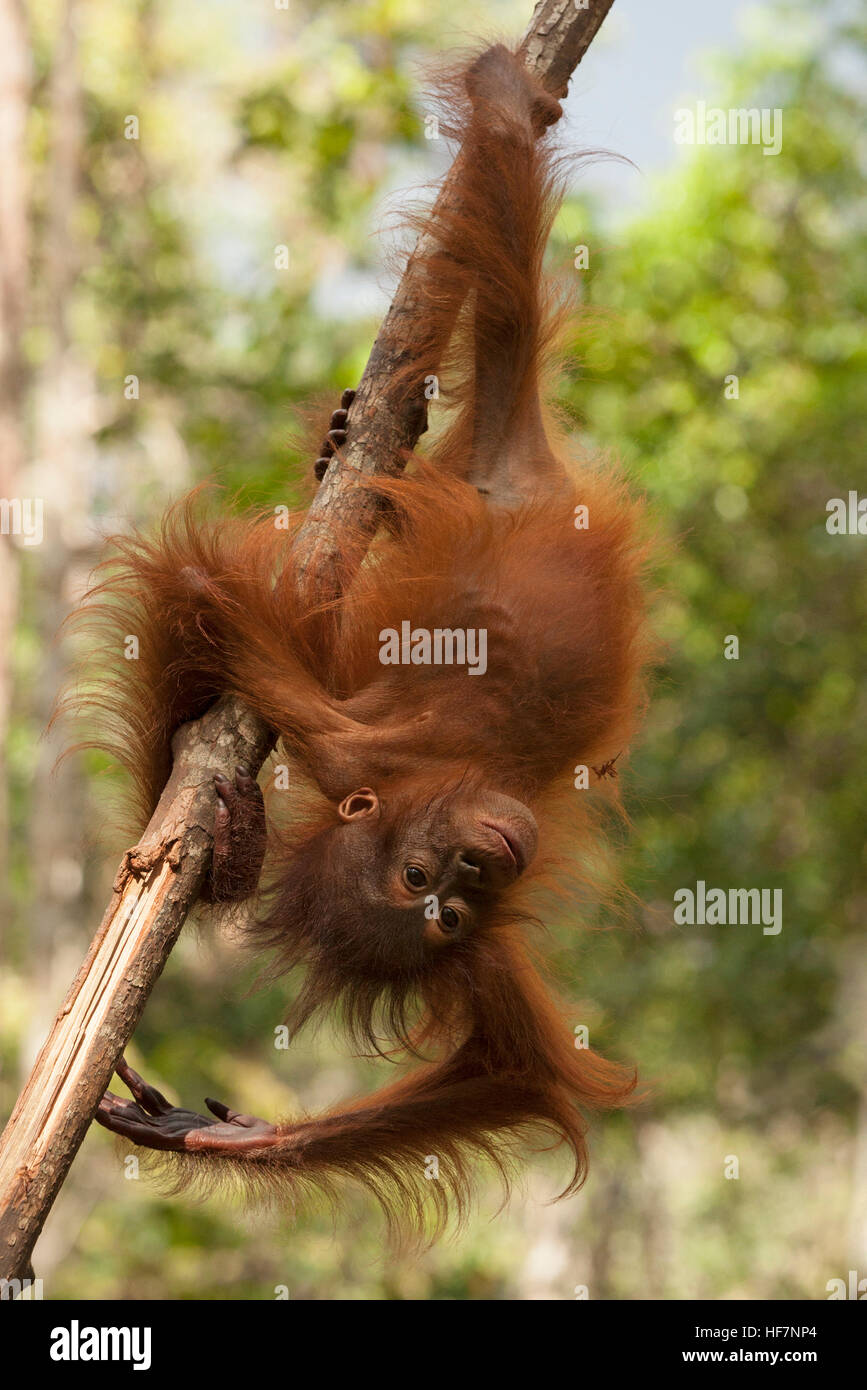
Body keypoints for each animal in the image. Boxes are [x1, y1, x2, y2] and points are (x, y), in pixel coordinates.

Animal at [90, 44, 653, 1234]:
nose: (473, 868)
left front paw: (219, 834)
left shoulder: (360, 746)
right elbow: (518, 1072)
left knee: (497, 258)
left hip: (498, 468)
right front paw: (212, 1134)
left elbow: (202, 594)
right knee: (508, 309)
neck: (438, 775)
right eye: (431, 901)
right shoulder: (477, 953)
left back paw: (504, 102)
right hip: (509, 456)